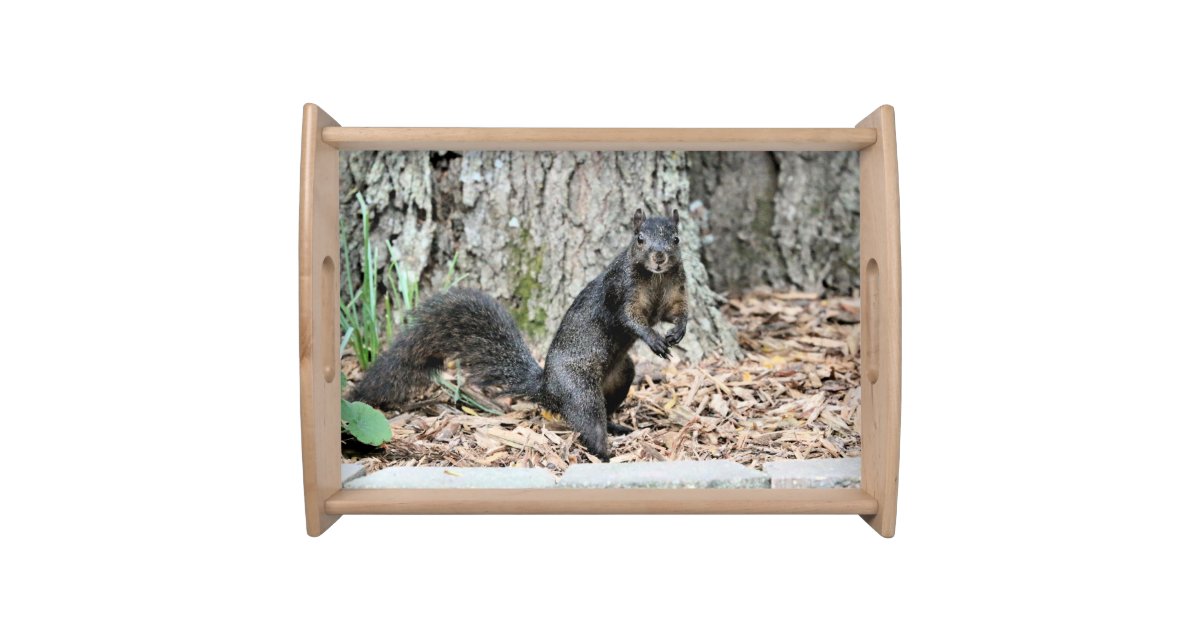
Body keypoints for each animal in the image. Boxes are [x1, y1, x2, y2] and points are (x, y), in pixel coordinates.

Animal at [348, 208, 689, 460]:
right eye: (640, 239)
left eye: (676, 239)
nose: (659, 257)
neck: (655, 279)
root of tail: (546, 389)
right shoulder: (620, 291)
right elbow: (629, 319)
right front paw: (654, 339)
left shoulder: (674, 292)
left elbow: (677, 312)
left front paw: (678, 331)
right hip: (578, 389)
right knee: (588, 421)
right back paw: (604, 452)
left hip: (621, 375)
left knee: (605, 408)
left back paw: (617, 427)